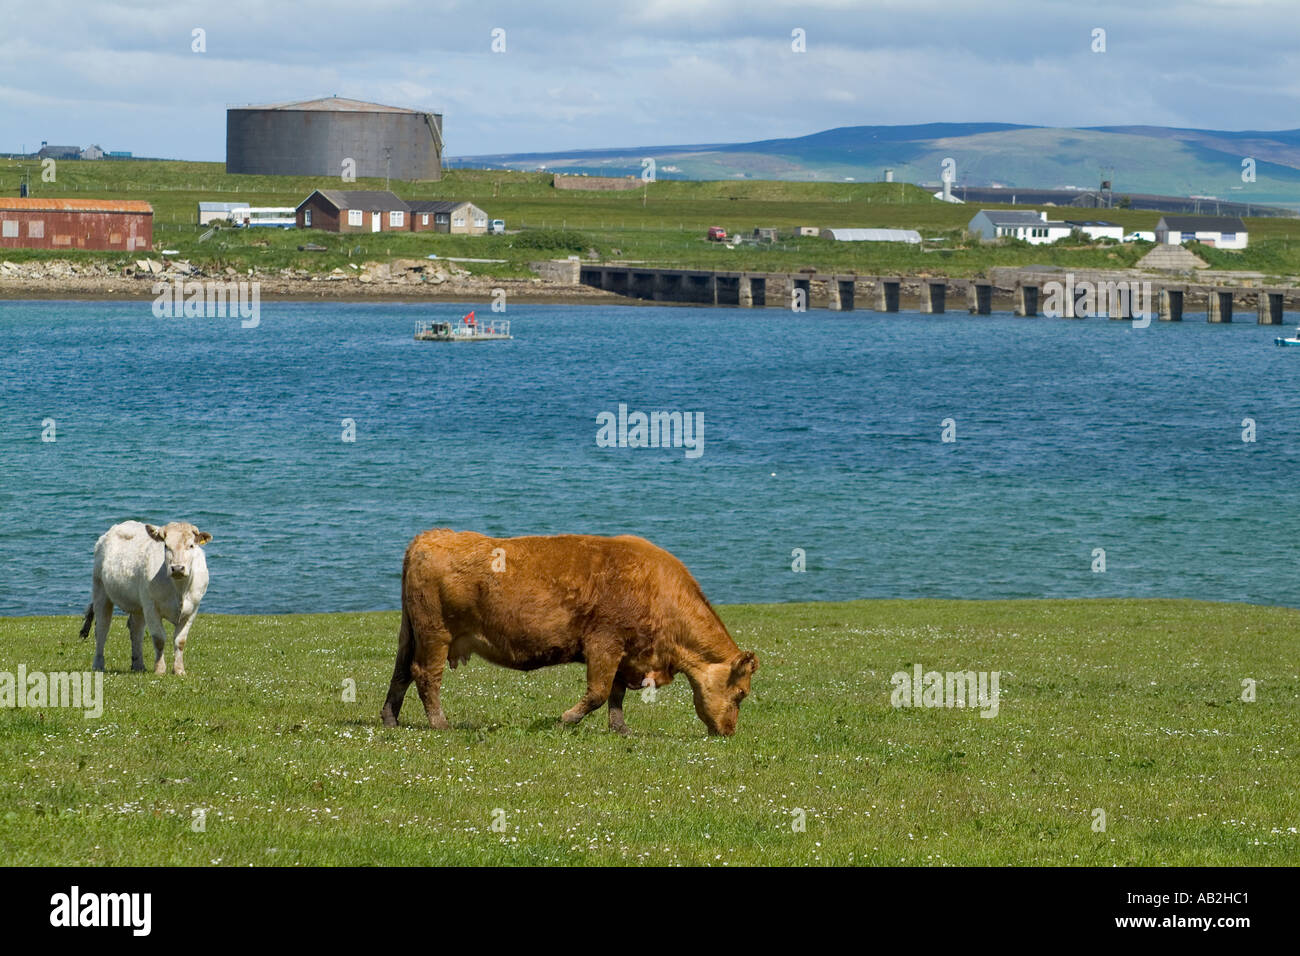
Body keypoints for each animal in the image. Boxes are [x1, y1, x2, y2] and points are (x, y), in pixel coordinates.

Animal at [80, 520, 211, 676]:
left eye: (191, 545)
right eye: (166, 546)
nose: (178, 568)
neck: (179, 590)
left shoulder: (193, 609)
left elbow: (180, 641)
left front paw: (179, 670)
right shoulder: (150, 606)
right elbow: (159, 638)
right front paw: (160, 669)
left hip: (138, 605)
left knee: (136, 629)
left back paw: (138, 665)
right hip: (101, 590)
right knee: (102, 628)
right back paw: (98, 665)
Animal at [379, 528, 759, 738]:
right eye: (741, 694)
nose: (729, 732)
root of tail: (431, 537)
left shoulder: (624, 652)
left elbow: (616, 695)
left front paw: (620, 729)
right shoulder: (604, 643)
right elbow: (599, 692)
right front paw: (565, 720)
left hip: (411, 635)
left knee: (400, 674)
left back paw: (390, 719)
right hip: (435, 634)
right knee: (425, 675)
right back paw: (440, 723)